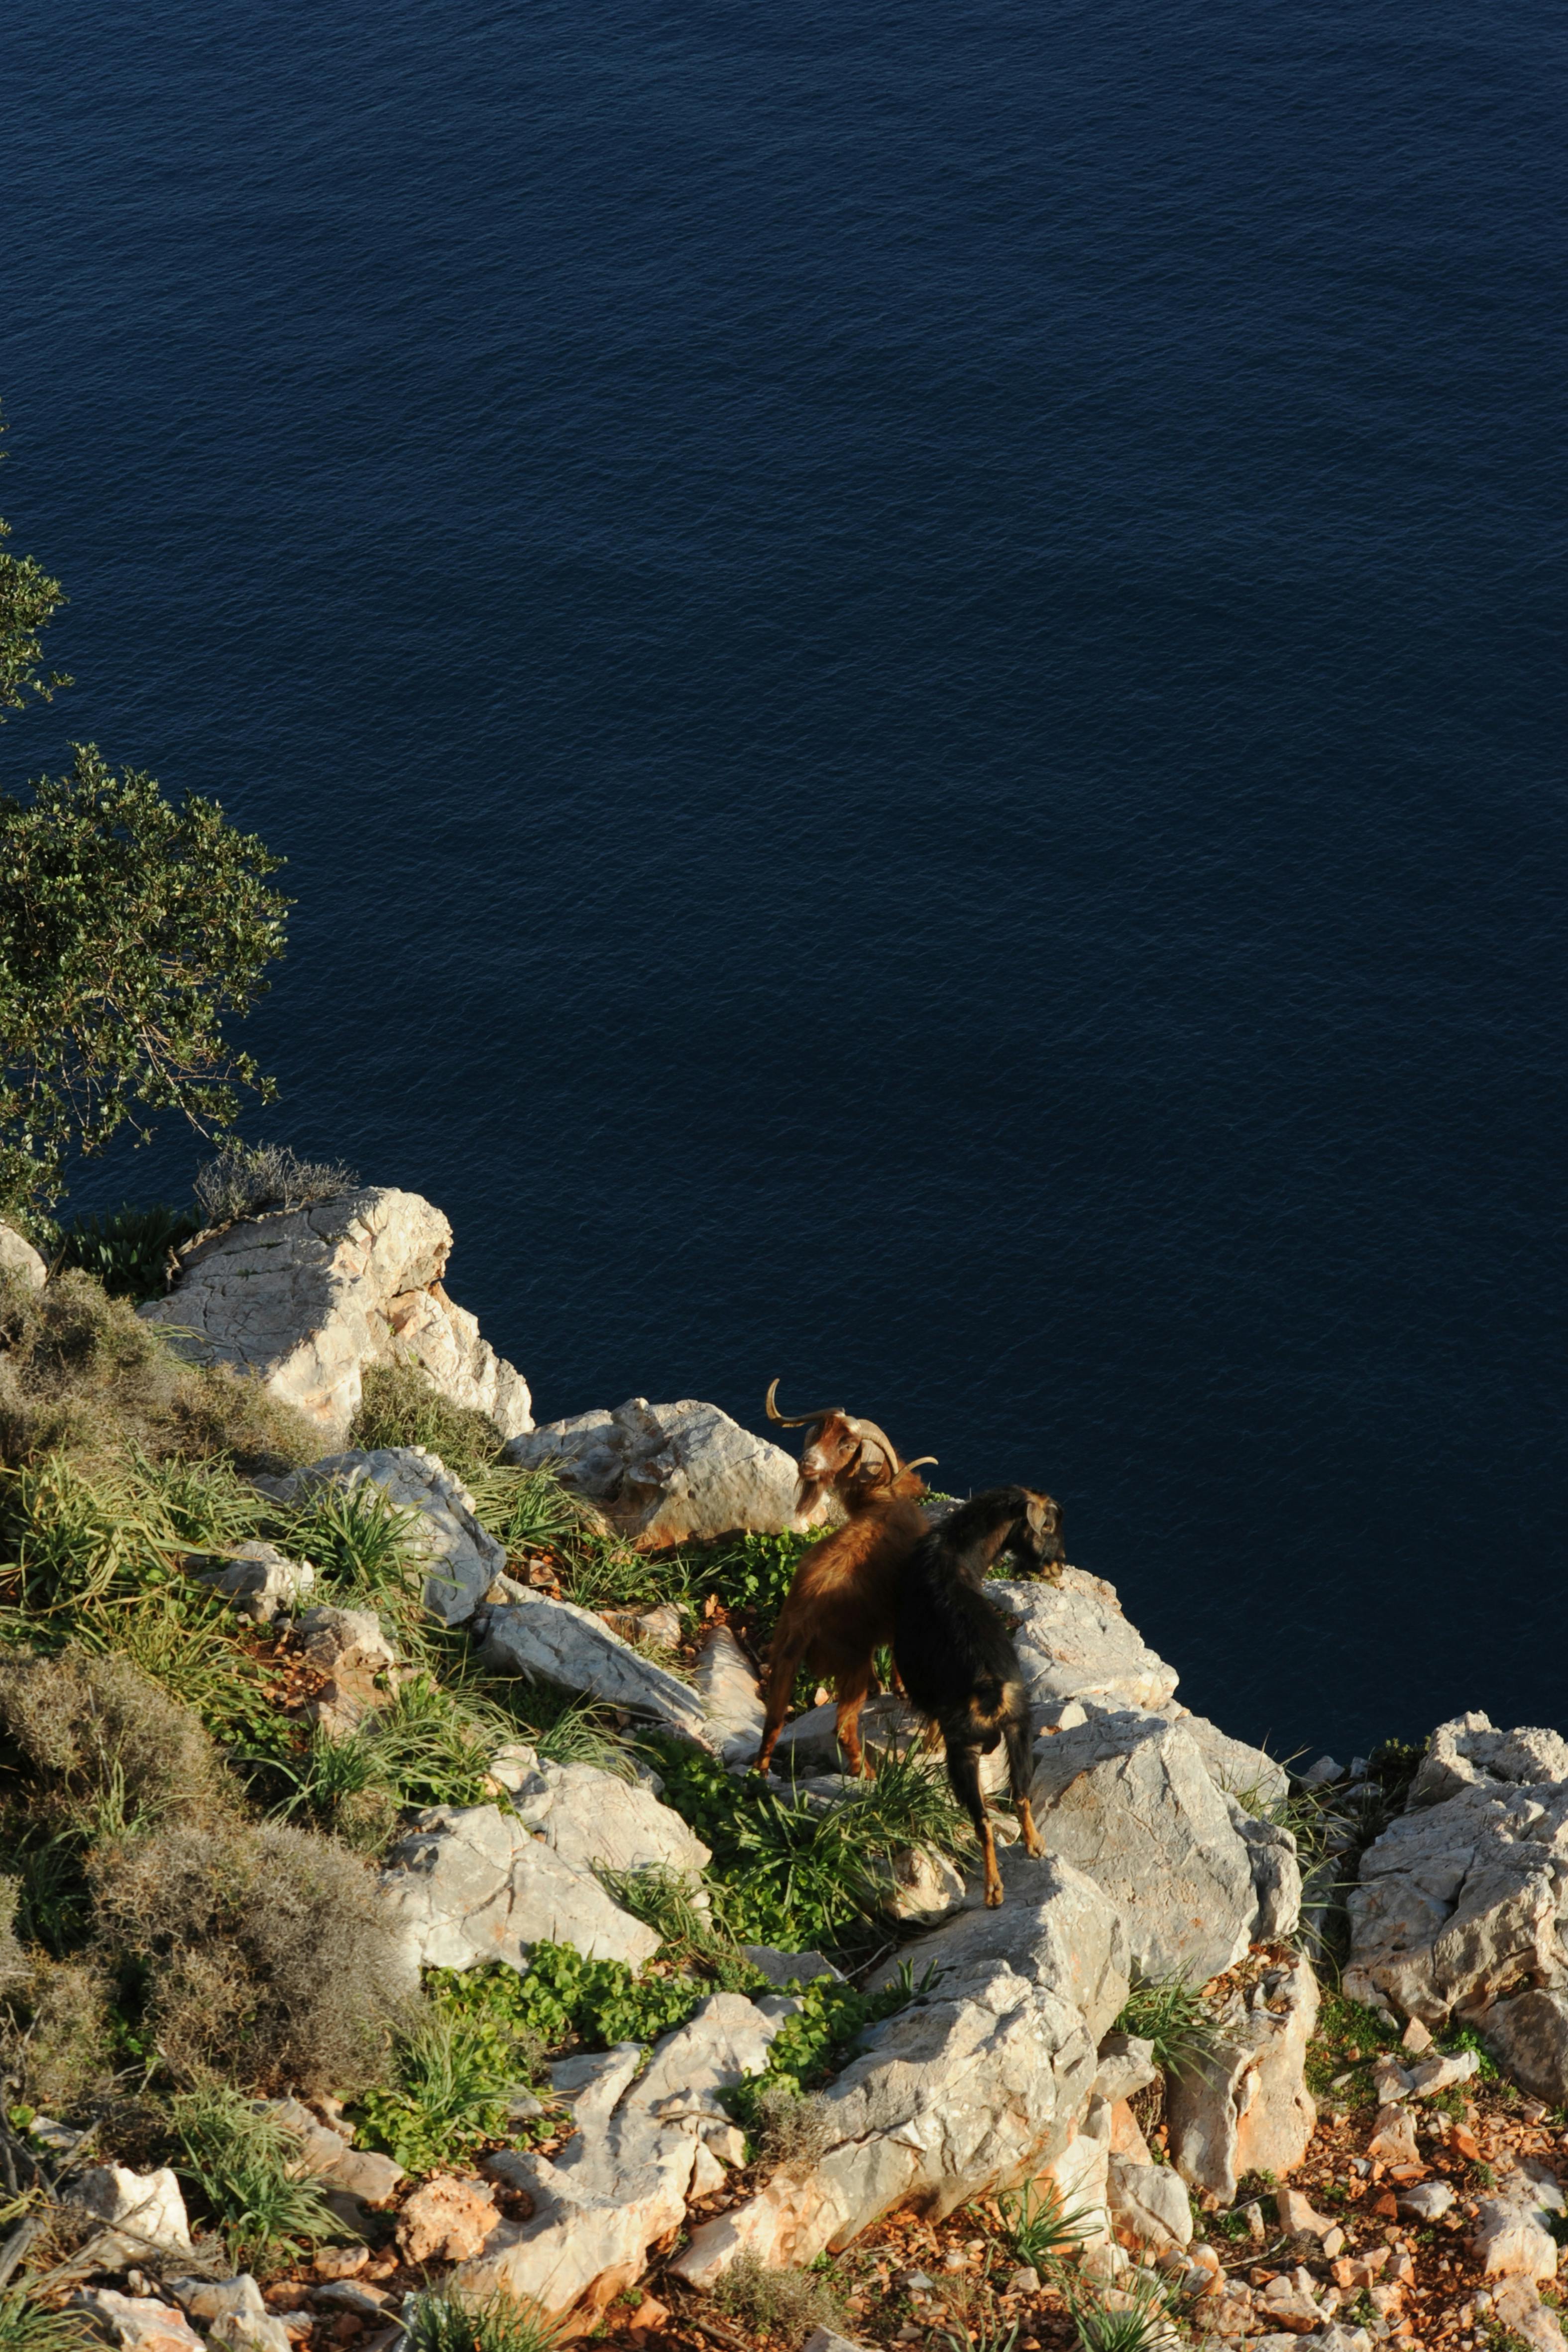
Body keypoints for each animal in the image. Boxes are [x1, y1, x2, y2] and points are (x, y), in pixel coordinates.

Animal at [752, 1383, 937, 1782]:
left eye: (847, 1444)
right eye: (819, 1431)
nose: (807, 1462)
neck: (881, 1501)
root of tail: (805, 1622)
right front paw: (899, 1689)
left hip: (784, 1659)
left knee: (773, 1720)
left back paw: (759, 1773)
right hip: (850, 1663)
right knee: (843, 1726)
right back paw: (865, 1773)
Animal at [892, 1484, 1065, 1907]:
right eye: (1048, 1526)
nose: (1058, 1565)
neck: (954, 1551)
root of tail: (992, 1692)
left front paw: (926, 1743)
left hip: (964, 1752)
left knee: (983, 1821)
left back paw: (993, 1890)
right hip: (1020, 1730)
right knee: (1021, 1793)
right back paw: (1035, 1845)